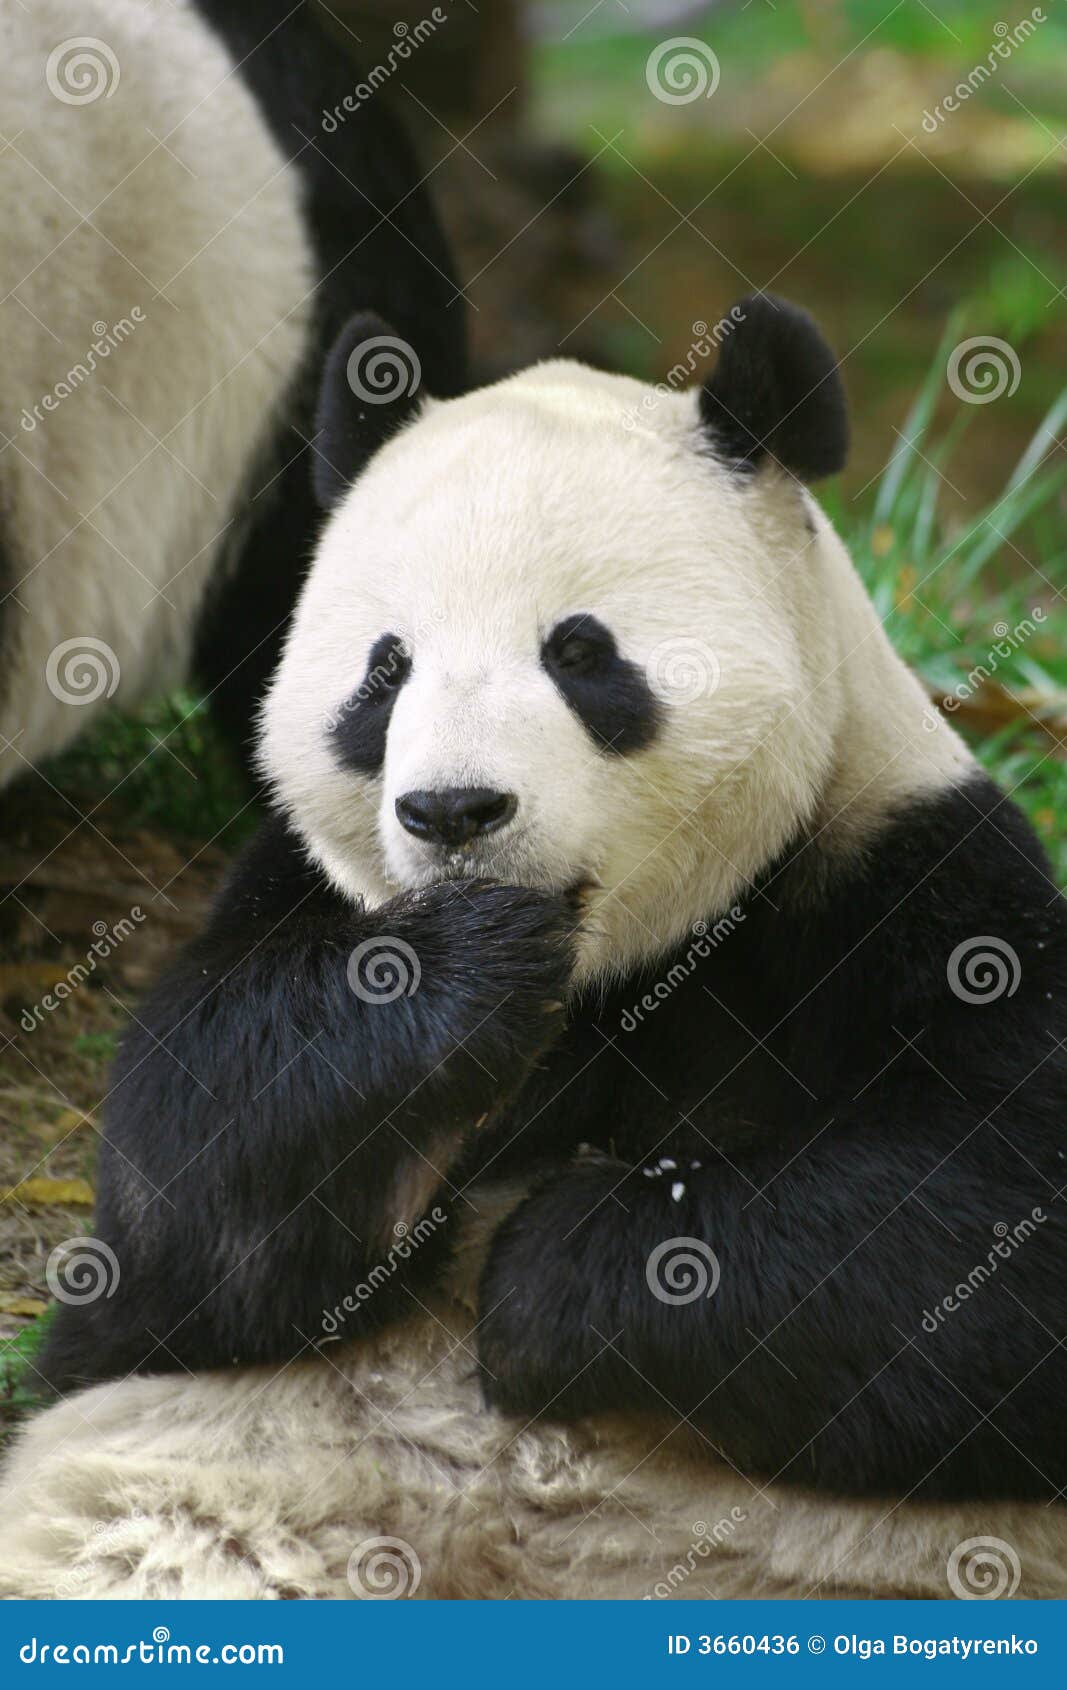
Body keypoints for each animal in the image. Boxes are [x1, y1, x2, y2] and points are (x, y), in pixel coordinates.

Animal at [4, 292, 1067, 1601]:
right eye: (385, 667)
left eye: (579, 651)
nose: (452, 811)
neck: (615, 966)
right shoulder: (290, 890)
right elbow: (178, 1204)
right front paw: (461, 983)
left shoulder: (905, 868)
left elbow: (994, 1212)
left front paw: (546, 1284)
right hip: (208, 1474)